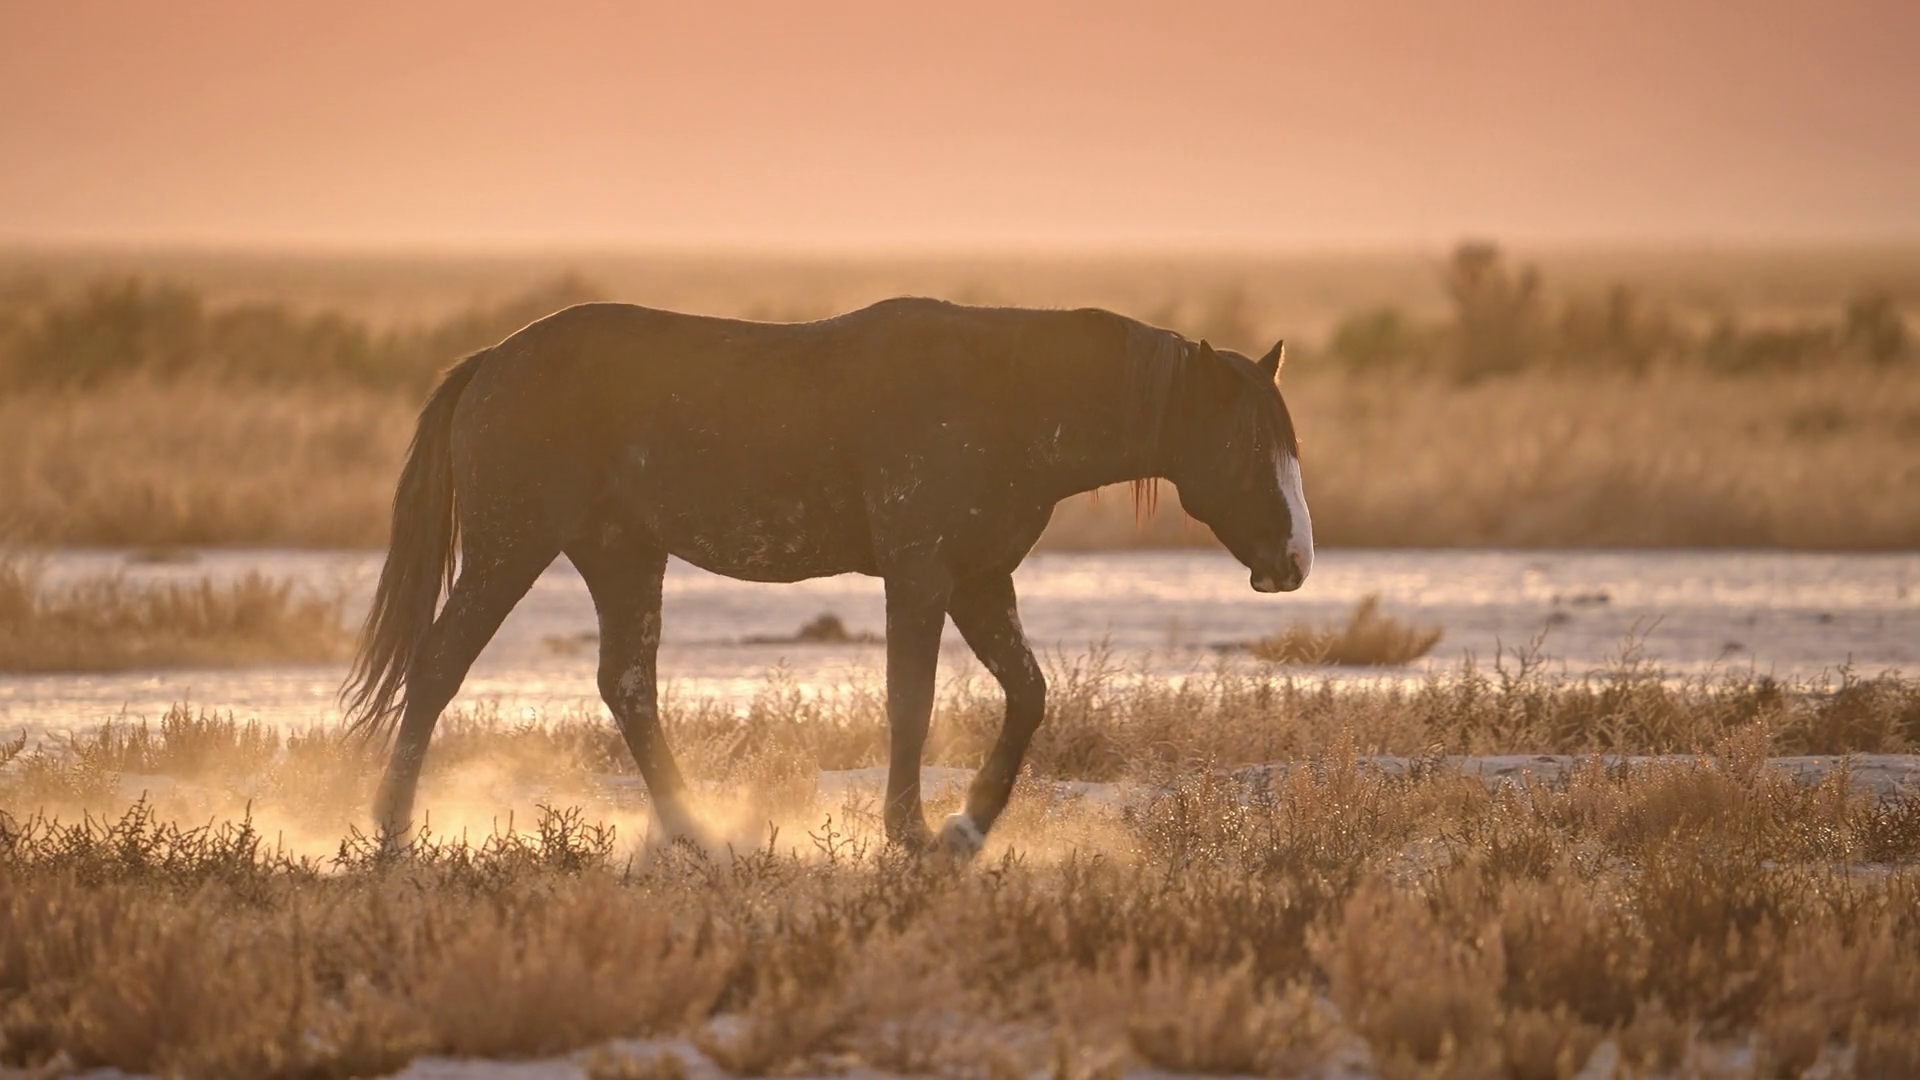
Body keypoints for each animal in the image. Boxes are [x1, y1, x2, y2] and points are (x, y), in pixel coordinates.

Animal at [342, 297, 1312, 855]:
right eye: (1247, 445)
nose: (1295, 562)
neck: (1007, 397)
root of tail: (490, 363)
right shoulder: (923, 577)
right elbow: (911, 700)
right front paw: (911, 830)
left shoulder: (980, 579)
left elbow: (1029, 694)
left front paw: (969, 825)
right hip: (510, 547)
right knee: (439, 668)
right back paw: (391, 834)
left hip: (622, 556)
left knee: (627, 685)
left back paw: (695, 834)